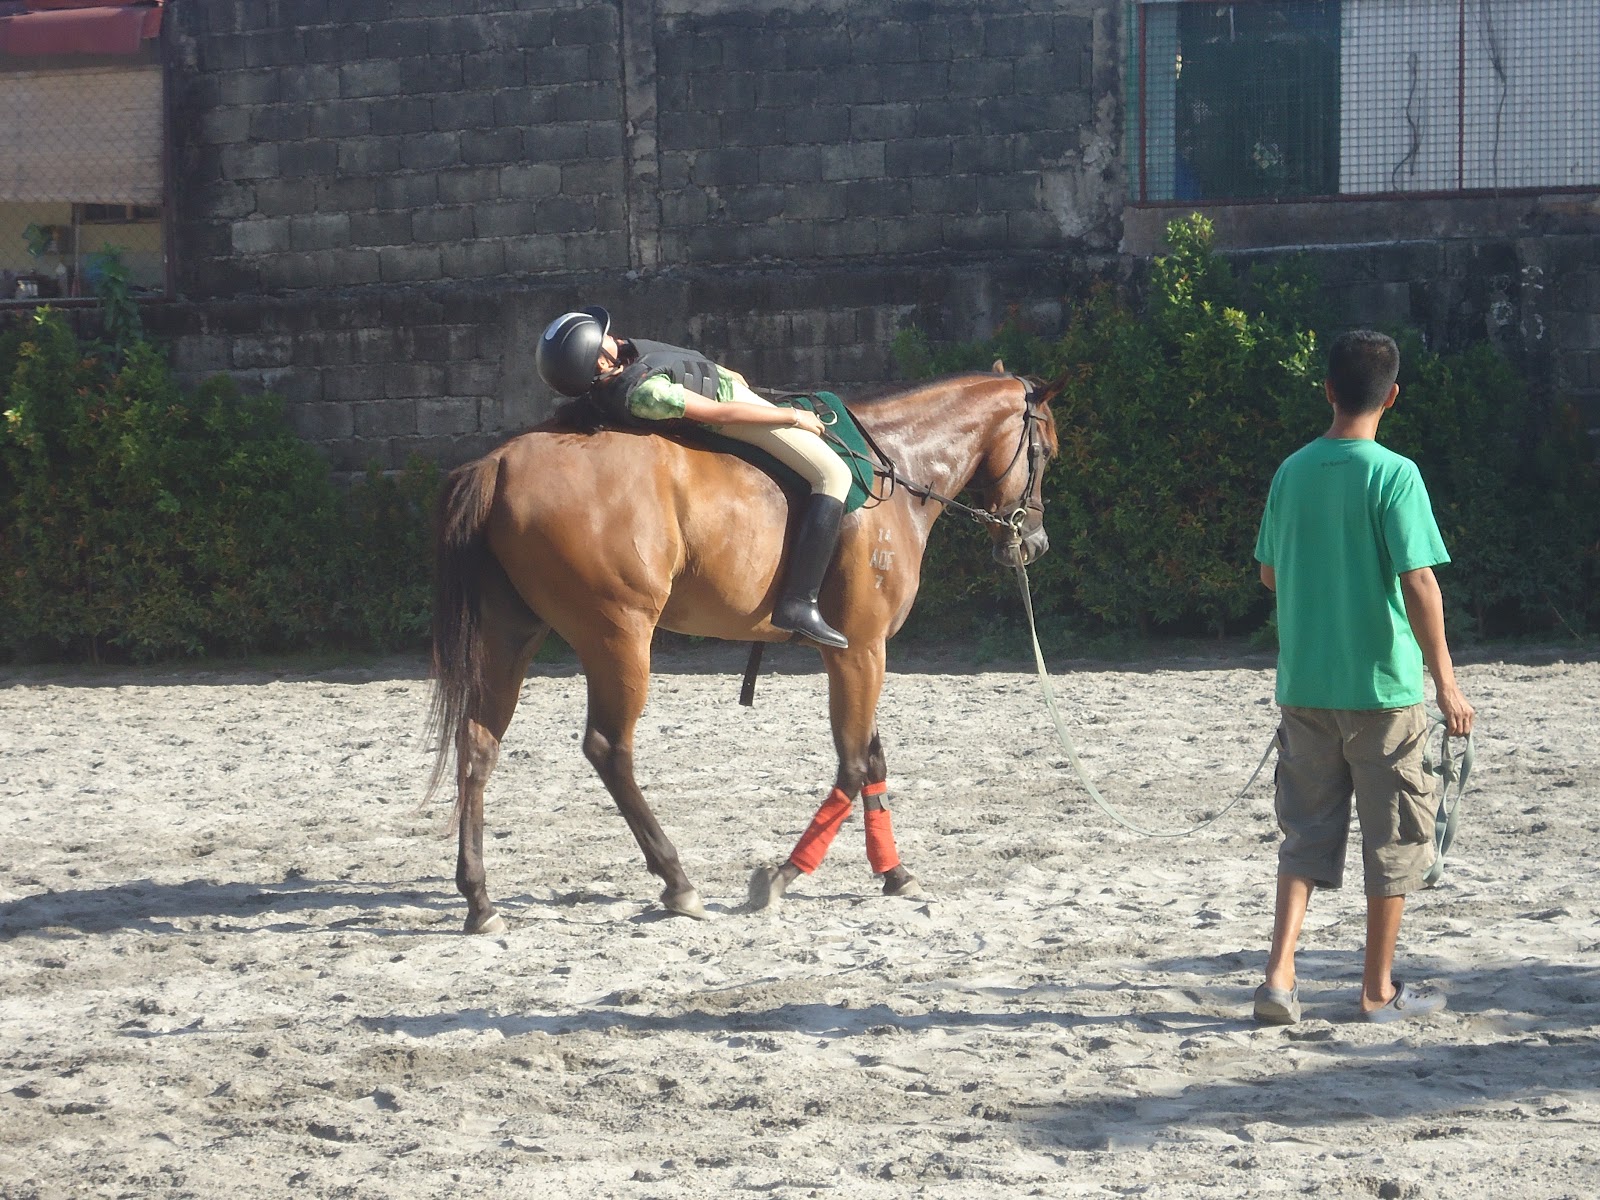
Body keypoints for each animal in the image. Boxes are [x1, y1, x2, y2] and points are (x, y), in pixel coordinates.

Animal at [427, 369, 1059, 933]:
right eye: (1047, 452)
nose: (1033, 543)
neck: (897, 470)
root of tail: (499, 463)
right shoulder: (861, 649)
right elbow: (854, 765)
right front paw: (781, 878)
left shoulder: (855, 652)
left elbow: (872, 761)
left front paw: (895, 873)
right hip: (620, 635)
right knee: (609, 749)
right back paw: (677, 881)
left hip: (512, 635)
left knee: (479, 746)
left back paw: (479, 900)